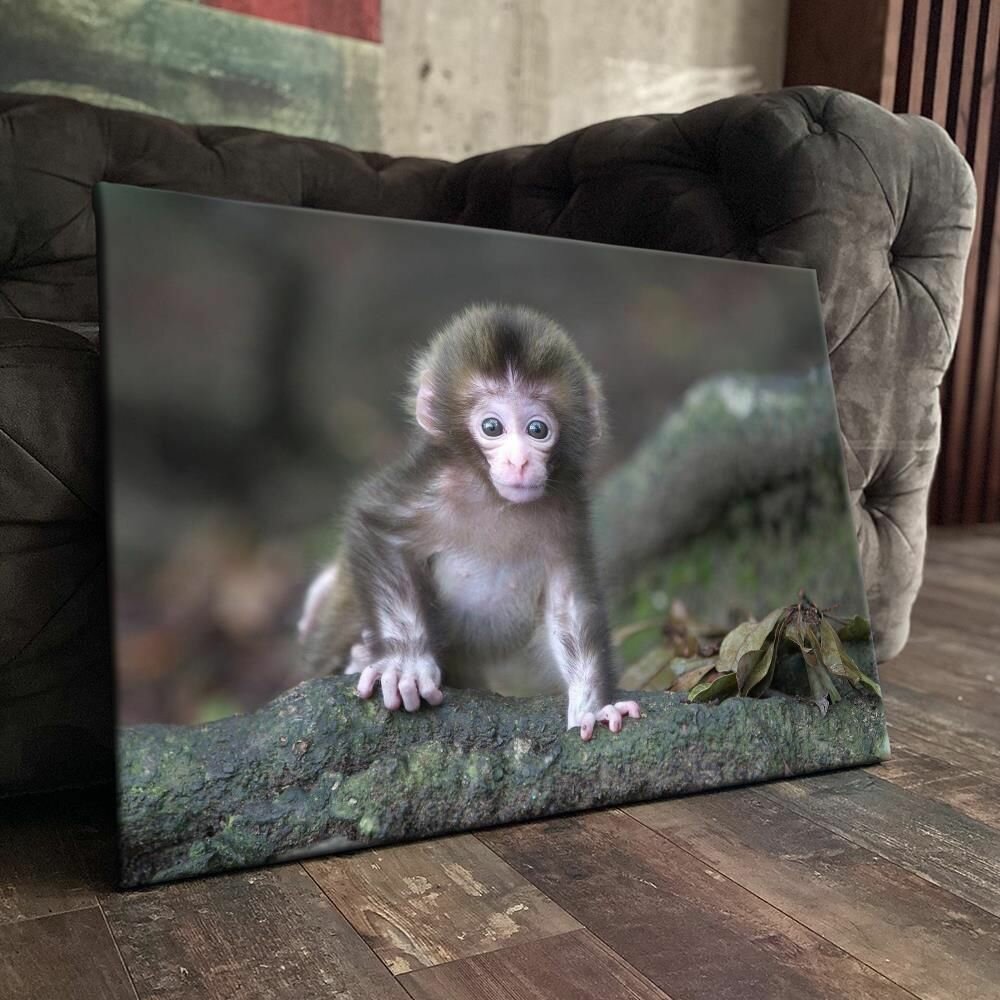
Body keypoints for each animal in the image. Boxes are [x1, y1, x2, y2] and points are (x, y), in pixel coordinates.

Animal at [297, 303, 641, 741]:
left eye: (537, 429)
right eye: (492, 427)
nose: (519, 461)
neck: (495, 501)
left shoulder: (566, 513)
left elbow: (569, 608)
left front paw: (592, 707)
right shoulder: (426, 488)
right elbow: (379, 530)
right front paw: (405, 664)